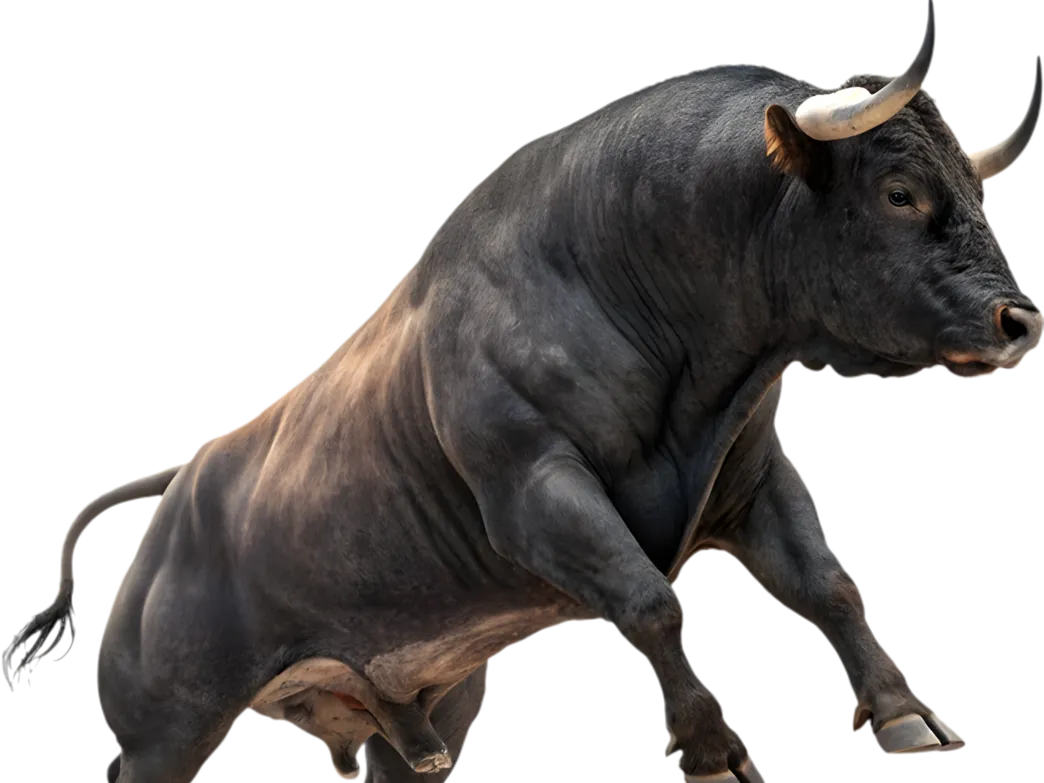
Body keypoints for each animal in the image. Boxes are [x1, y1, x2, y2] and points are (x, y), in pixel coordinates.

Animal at [4, 1, 1041, 780]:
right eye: (900, 191)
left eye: (974, 191)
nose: (1021, 321)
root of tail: (179, 480)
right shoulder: (535, 487)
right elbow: (649, 600)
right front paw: (711, 747)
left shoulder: (751, 473)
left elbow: (829, 582)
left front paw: (910, 716)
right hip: (159, 735)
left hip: (414, 715)